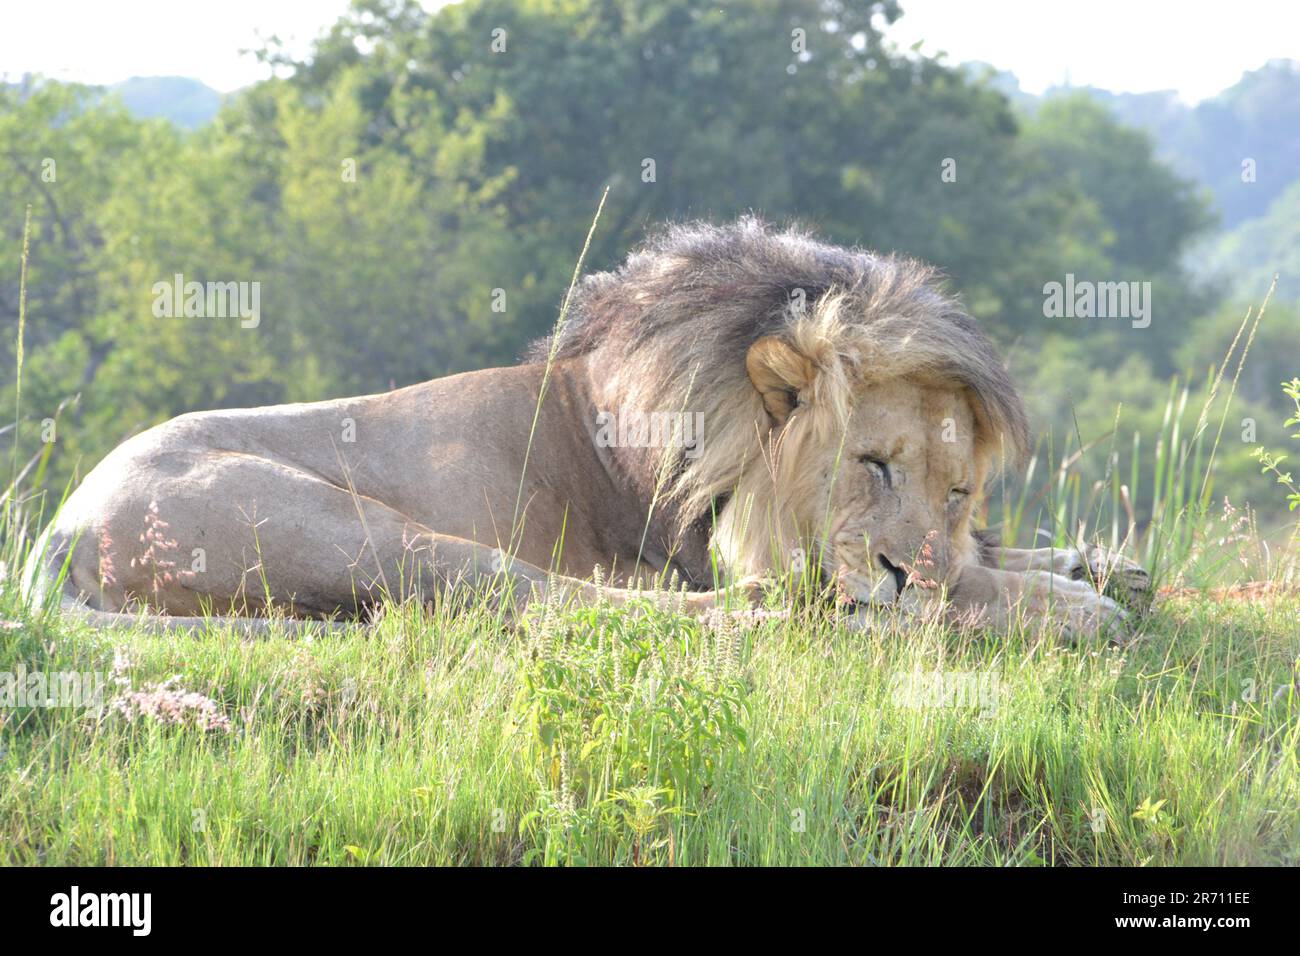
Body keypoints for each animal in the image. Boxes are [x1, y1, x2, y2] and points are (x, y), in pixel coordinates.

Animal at [24, 218, 1149, 639]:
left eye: (956, 491)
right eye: (869, 464)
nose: (905, 573)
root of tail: (54, 541)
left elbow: (993, 560)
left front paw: (1092, 564)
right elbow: (979, 591)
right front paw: (1068, 600)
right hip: (349, 526)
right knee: (557, 602)